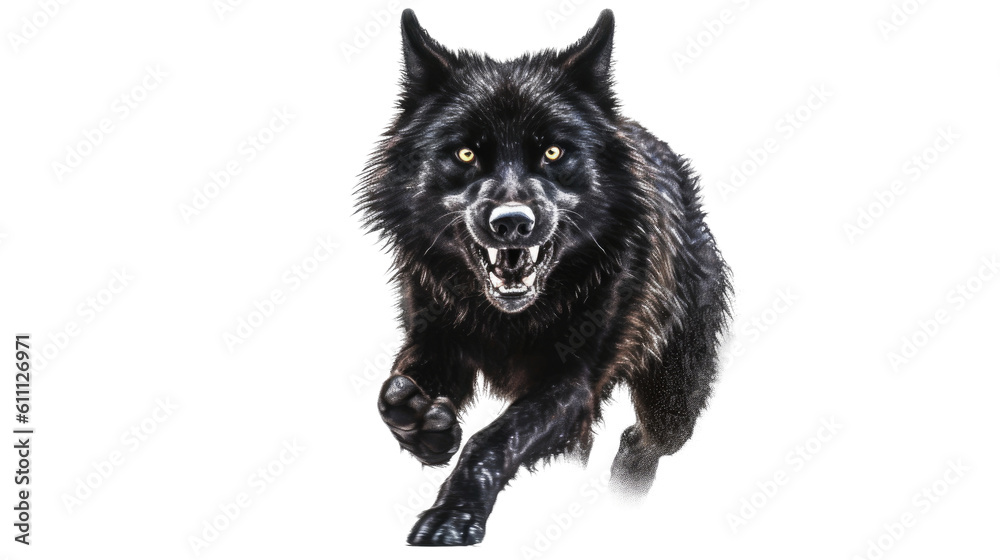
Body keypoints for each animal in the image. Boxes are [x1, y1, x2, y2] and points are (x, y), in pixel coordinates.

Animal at [356, 9, 731, 546]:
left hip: (673, 402)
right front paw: (428, 428)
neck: (508, 319)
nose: (512, 222)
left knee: (643, 439)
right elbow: (390, 393)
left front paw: (454, 517)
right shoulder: (435, 341)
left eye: (553, 153)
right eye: (466, 155)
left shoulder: (569, 383)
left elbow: (492, 440)